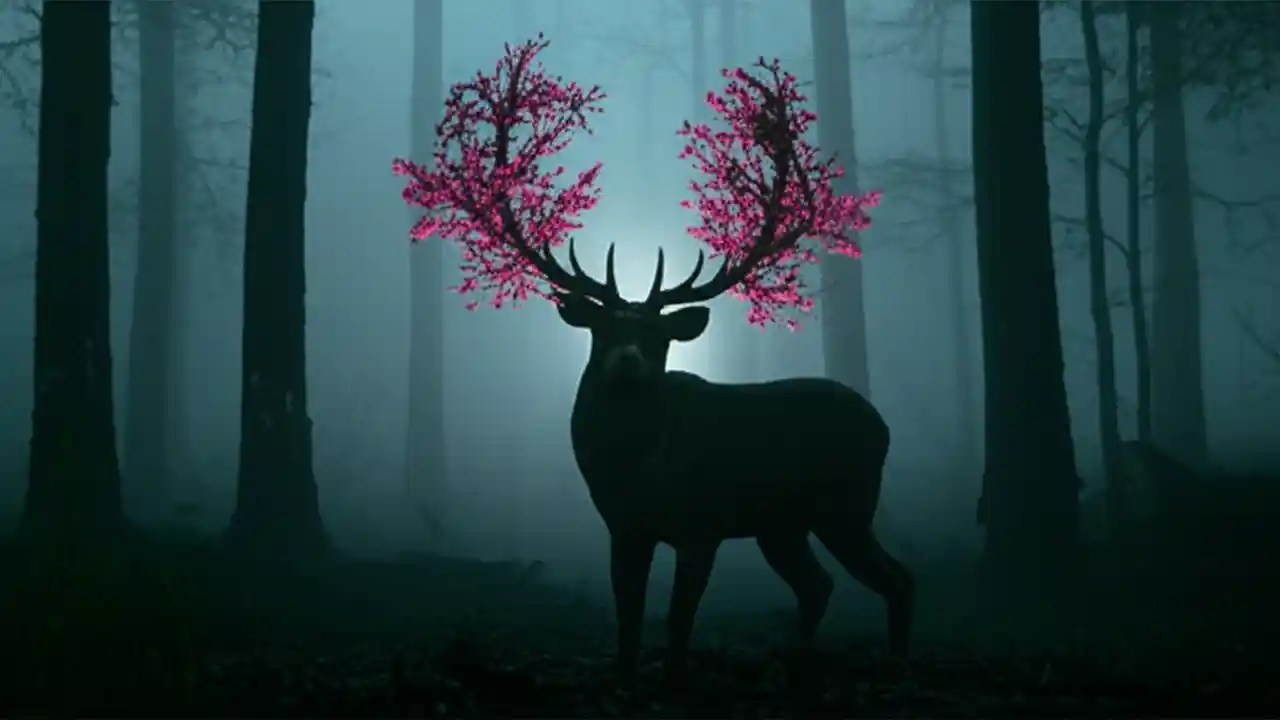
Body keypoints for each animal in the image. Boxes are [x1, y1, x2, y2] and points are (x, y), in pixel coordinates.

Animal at [392, 37, 914, 682]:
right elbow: (628, 615)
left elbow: (678, 618)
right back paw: (800, 656)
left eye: (659, 336)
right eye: (603, 329)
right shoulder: (623, 527)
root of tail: (883, 425)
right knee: (818, 584)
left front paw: (674, 671)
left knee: (894, 576)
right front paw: (623, 672)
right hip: (783, 522)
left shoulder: (702, 522)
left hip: (845, 502)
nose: (628, 362)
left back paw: (893, 658)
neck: (634, 468)